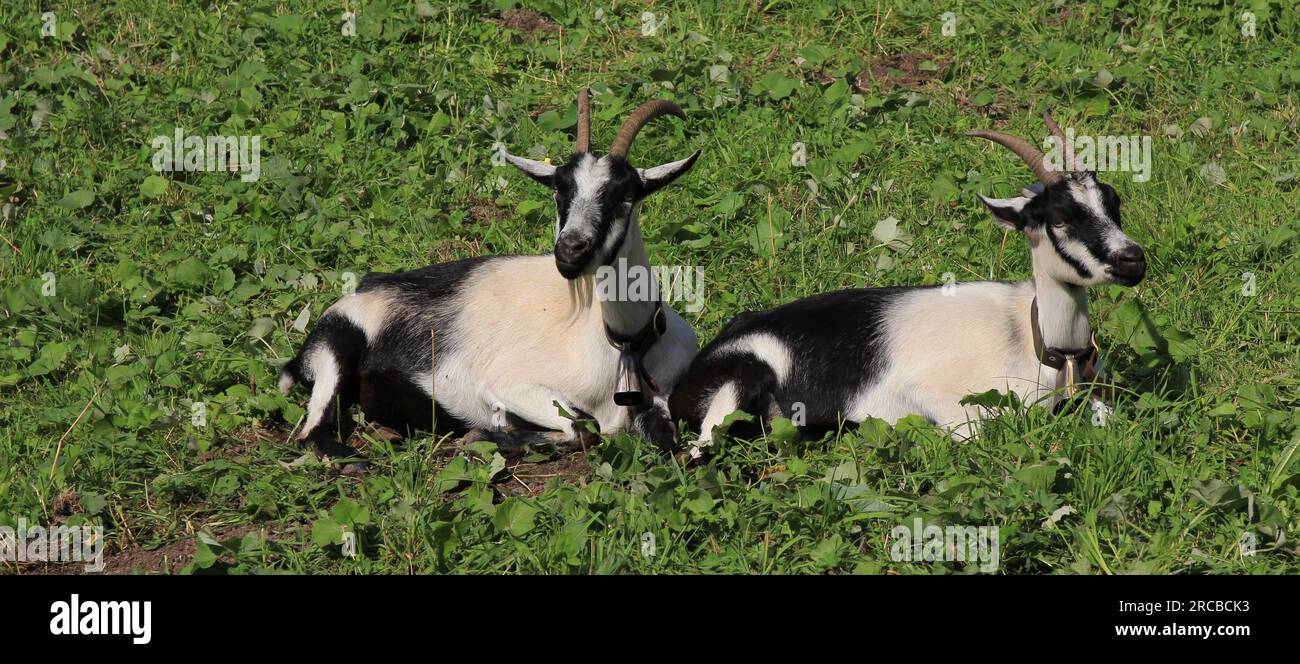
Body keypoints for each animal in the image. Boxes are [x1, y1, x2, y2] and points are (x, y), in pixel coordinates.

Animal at [280, 91, 701, 461]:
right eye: (559, 191)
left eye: (625, 196)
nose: (570, 250)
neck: (620, 341)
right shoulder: (509, 385)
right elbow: (581, 429)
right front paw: (486, 435)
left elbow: (665, 438)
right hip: (337, 345)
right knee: (311, 432)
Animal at [668, 113, 1147, 457]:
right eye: (1059, 219)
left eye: (1113, 203)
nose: (1132, 259)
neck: (1033, 342)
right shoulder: (936, 397)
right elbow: (977, 432)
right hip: (738, 382)